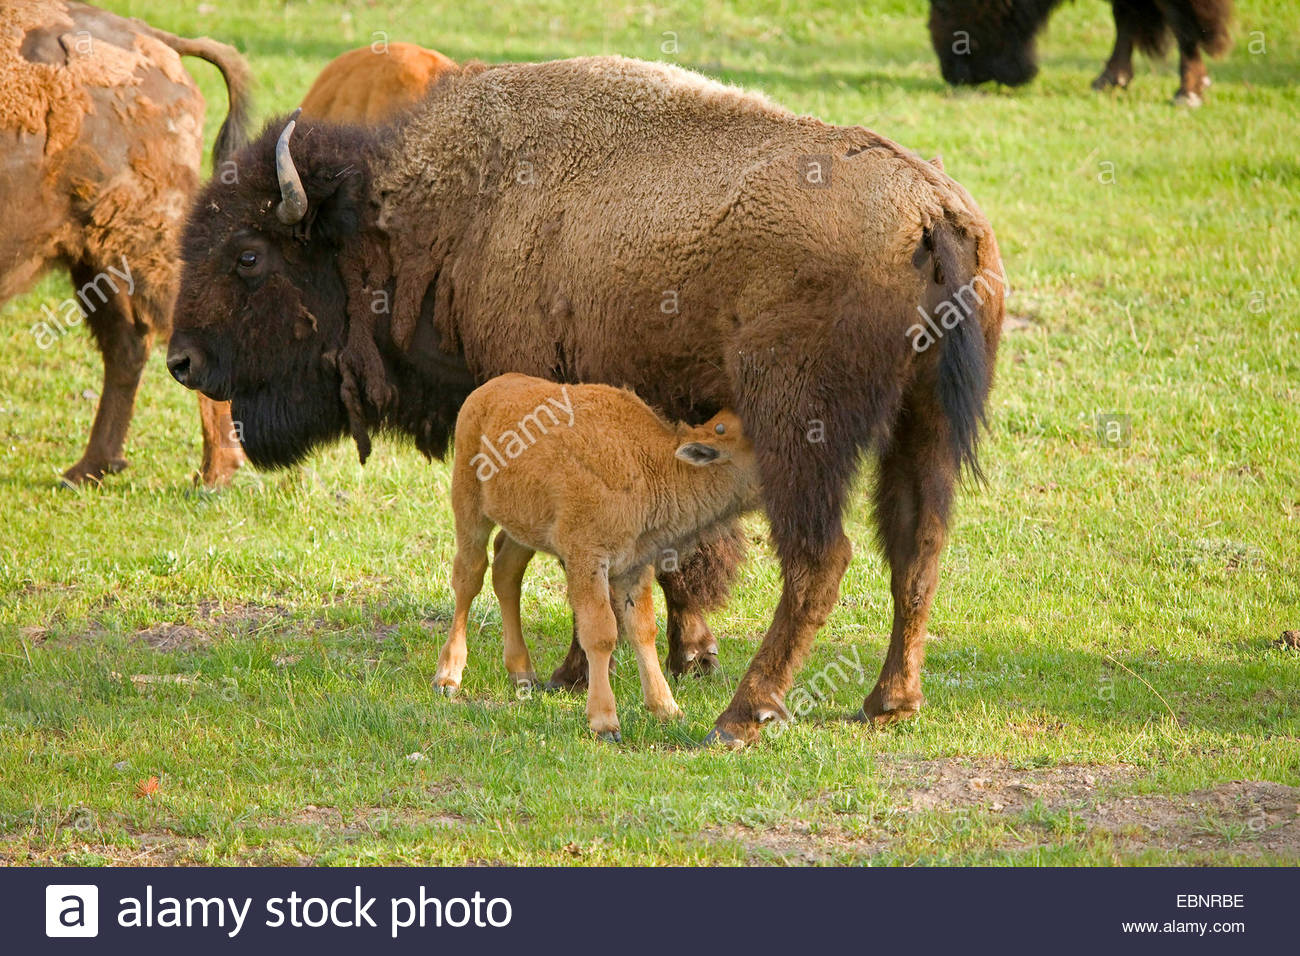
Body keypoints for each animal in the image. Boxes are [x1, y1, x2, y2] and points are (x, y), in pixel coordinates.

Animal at [0, 0, 250, 486]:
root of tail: (150, 37)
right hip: (95, 259)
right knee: (126, 345)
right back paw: (89, 469)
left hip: (144, 244)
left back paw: (213, 475)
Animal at [166, 57, 1005, 745]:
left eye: (247, 255)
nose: (181, 360)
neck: (451, 216)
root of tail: (931, 212)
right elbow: (661, 558)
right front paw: (680, 657)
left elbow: (592, 568)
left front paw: (577, 675)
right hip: (922, 429)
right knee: (918, 547)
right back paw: (889, 702)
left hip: (799, 431)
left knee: (819, 558)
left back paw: (741, 716)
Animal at [928, 0, 1233, 106]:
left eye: (943, 5)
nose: (953, 74)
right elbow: (1124, 16)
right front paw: (1108, 80)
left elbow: (1183, 22)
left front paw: (1188, 92)